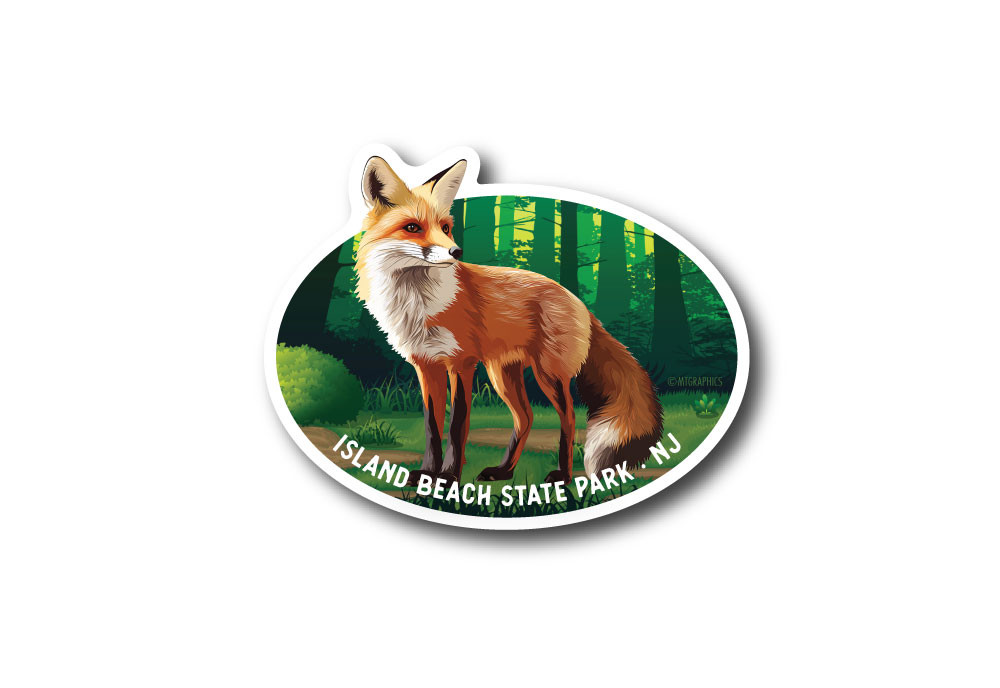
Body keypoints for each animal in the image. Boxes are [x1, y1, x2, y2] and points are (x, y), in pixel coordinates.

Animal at [354, 156, 662, 487]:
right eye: (412, 227)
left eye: (446, 228)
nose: (456, 251)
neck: (417, 304)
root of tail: (576, 299)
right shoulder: (426, 366)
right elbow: (432, 428)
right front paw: (427, 475)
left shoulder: (461, 363)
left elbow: (457, 425)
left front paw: (448, 478)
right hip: (502, 374)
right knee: (525, 418)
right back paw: (504, 471)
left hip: (547, 374)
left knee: (569, 418)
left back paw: (563, 476)